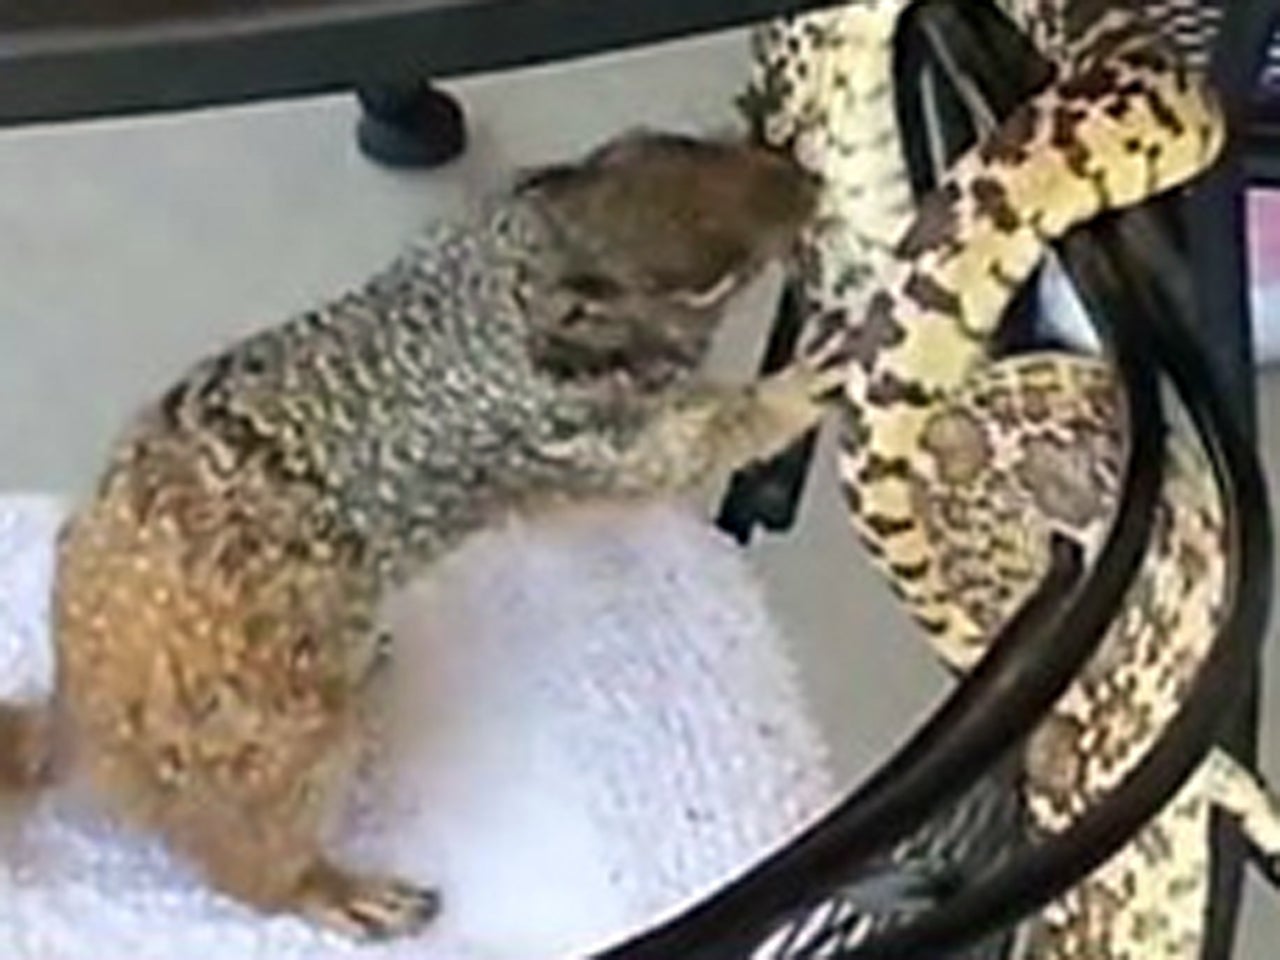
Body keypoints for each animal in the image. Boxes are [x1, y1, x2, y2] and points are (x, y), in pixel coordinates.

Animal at [0, 131, 838, 941]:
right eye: (708, 282)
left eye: (688, 143)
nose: (805, 183)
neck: (508, 272)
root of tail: (77, 725)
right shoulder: (567, 434)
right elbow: (681, 449)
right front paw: (801, 385)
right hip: (281, 749)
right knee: (246, 870)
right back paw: (347, 896)